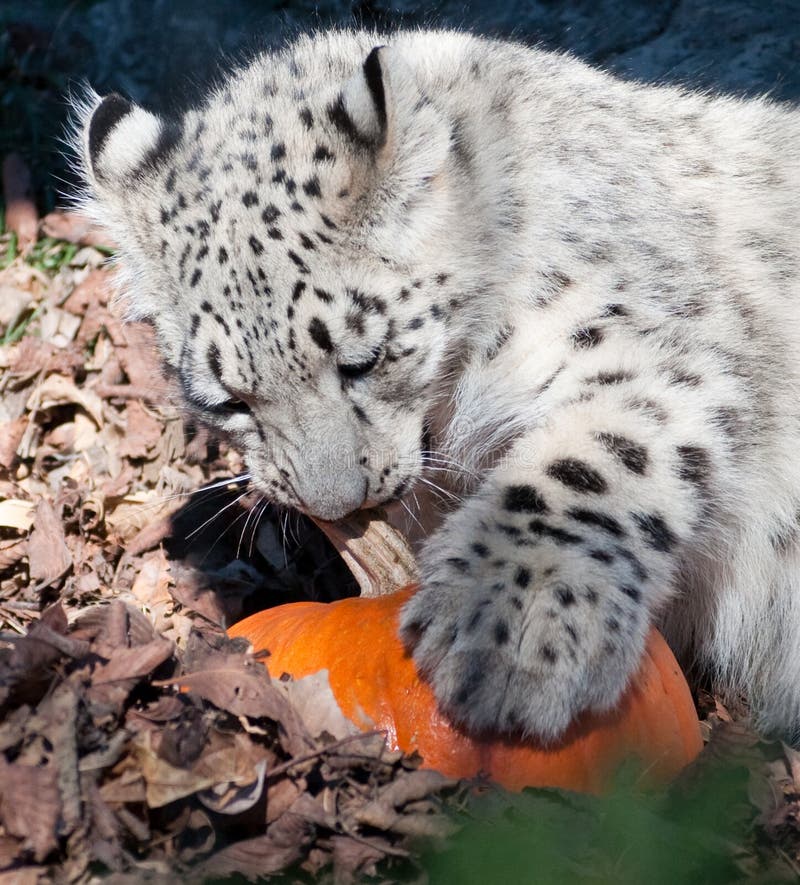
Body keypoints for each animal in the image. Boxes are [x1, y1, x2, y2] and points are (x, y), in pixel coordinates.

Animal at [72, 28, 800, 744]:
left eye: (362, 359)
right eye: (229, 400)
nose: (335, 503)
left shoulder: (664, 347)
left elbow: (595, 458)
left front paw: (509, 625)